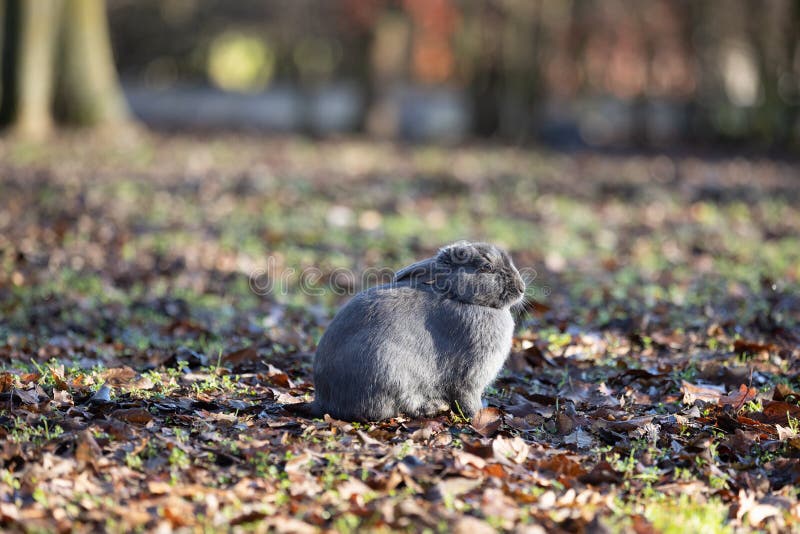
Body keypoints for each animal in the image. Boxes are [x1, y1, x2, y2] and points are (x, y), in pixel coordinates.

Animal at [304, 241, 525, 422]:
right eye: (487, 267)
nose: (521, 288)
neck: (461, 299)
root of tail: (324, 400)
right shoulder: (470, 377)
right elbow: (467, 398)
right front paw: (479, 414)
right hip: (389, 371)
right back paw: (433, 407)